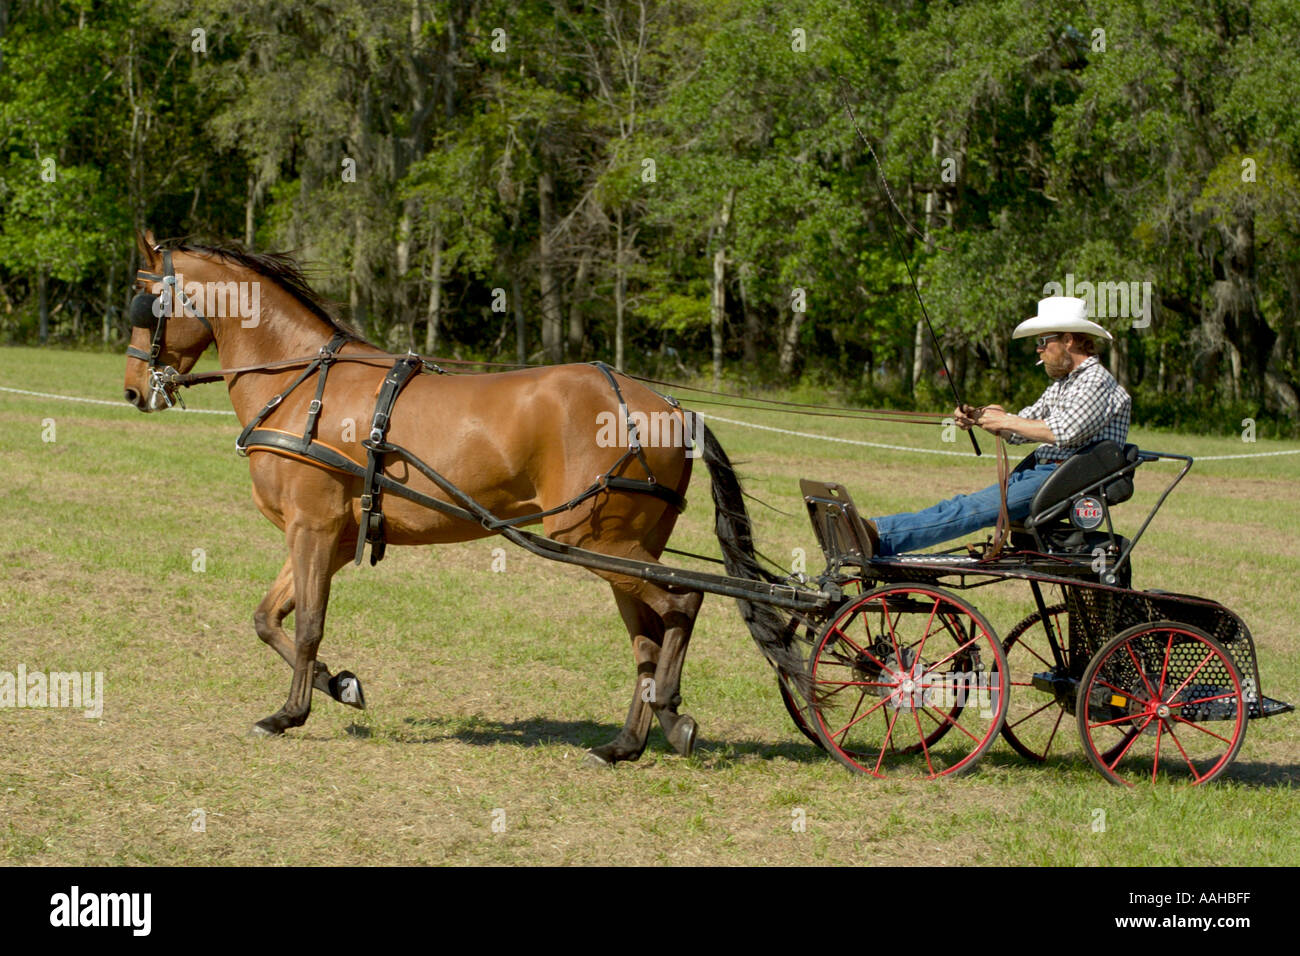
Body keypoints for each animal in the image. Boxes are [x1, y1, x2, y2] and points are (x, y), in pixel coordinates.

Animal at [121, 230, 805, 765]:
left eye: (144, 297)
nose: (131, 390)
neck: (302, 385)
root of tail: (670, 407)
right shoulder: (329, 536)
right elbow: (269, 618)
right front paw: (339, 685)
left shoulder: (311, 528)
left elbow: (310, 622)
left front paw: (291, 712)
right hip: (623, 547)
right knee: (648, 637)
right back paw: (629, 743)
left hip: (594, 541)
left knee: (681, 604)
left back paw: (668, 710)